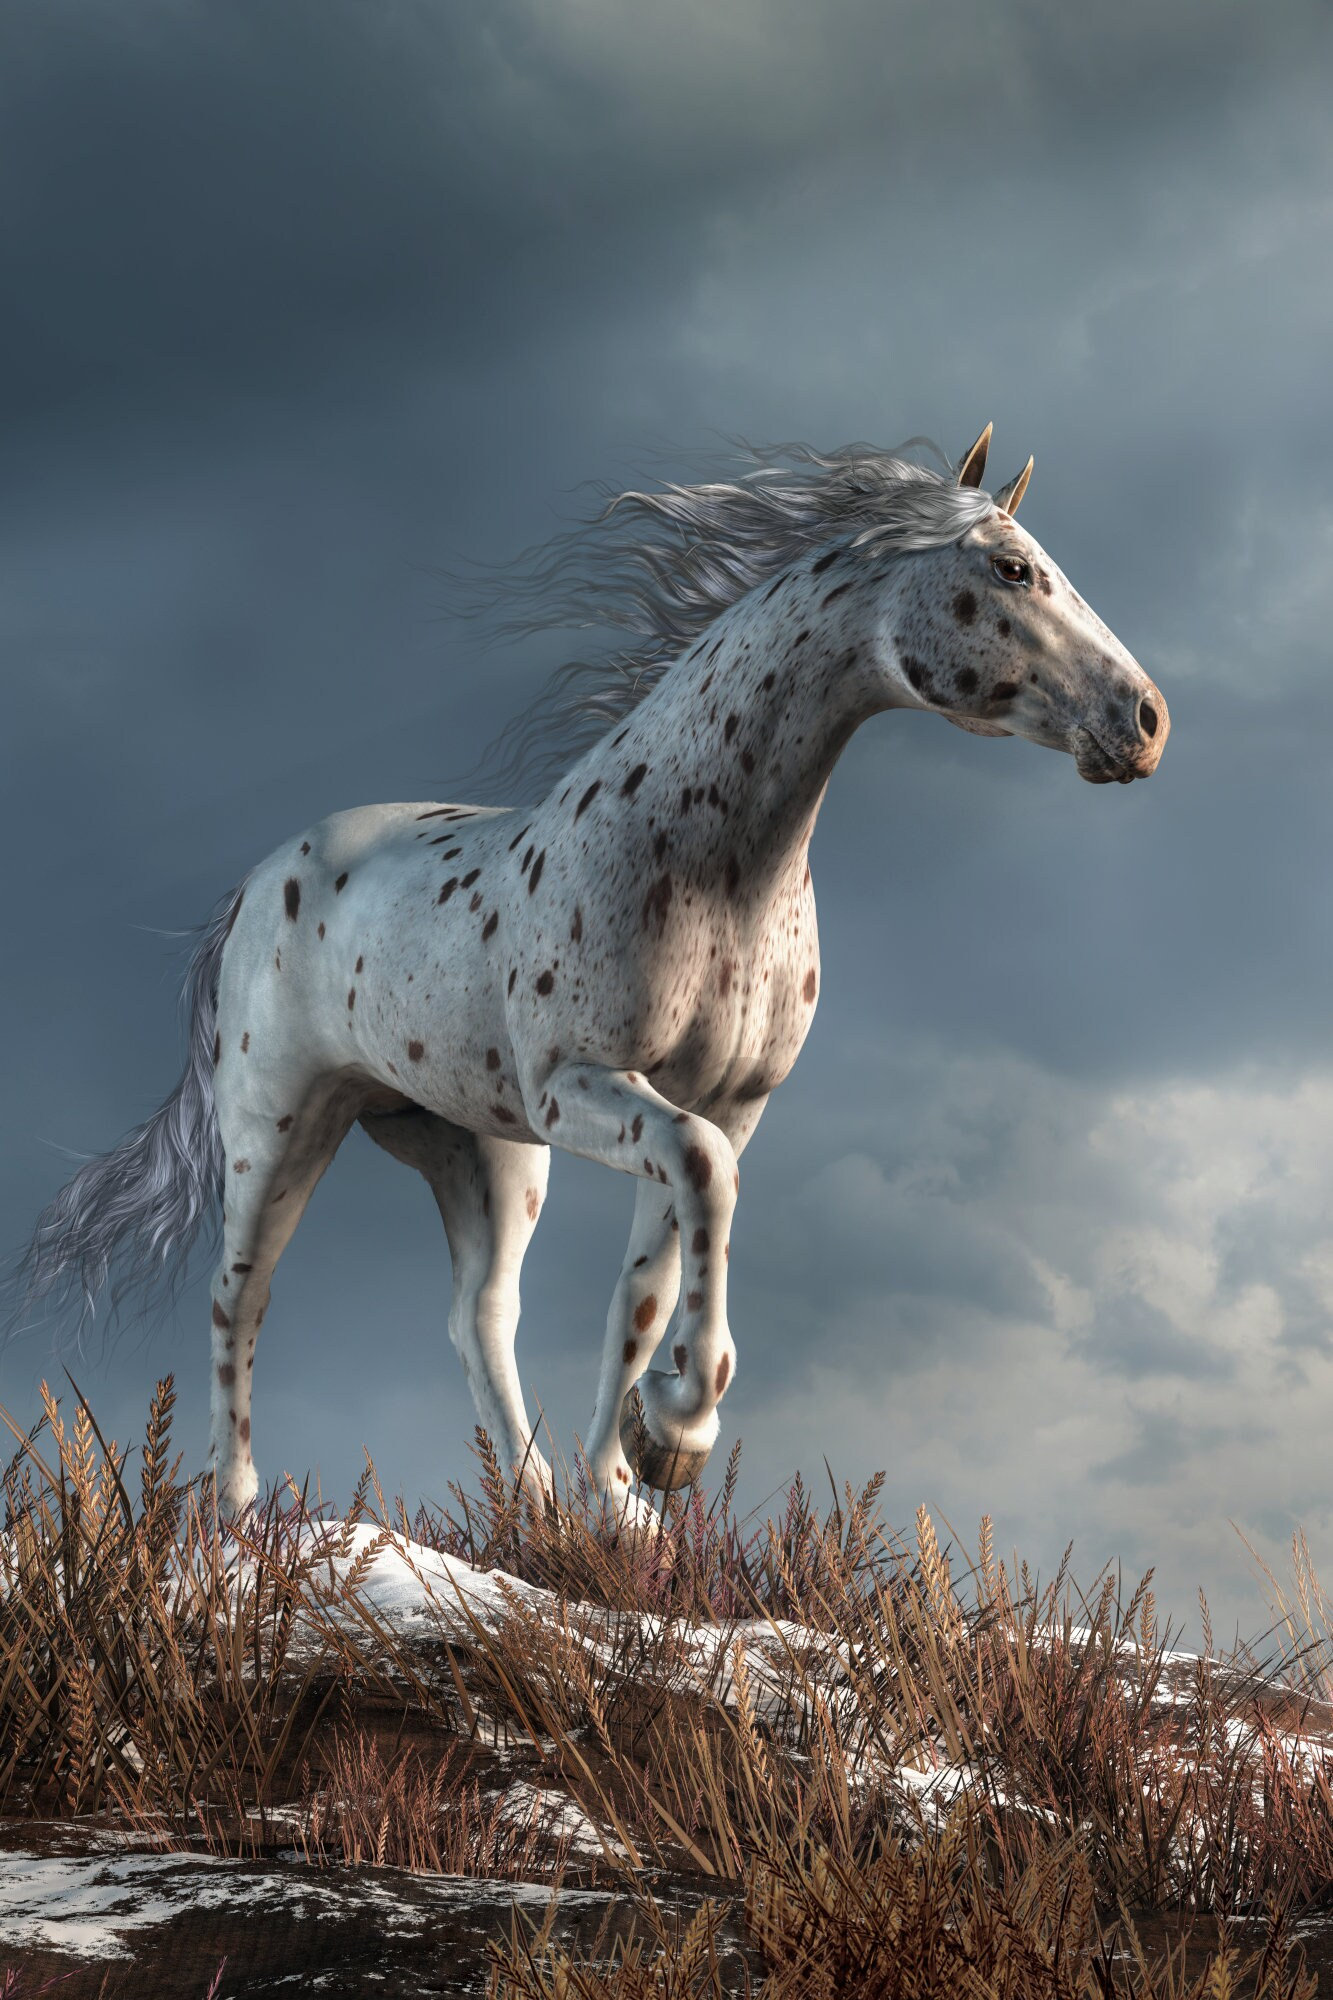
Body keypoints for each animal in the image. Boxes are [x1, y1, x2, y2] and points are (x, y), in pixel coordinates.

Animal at [10, 426, 1169, 1532]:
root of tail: (259, 881)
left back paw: (531, 1501)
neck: (715, 868)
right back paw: (239, 1508)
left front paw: (624, 1489)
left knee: (477, 1314)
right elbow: (699, 1180)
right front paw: (680, 1428)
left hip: (482, 1149)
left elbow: (652, 1278)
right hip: (283, 1125)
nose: (1146, 721)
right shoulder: (585, 1085)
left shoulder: (724, 1103)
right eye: (1014, 568)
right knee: (238, 1296)